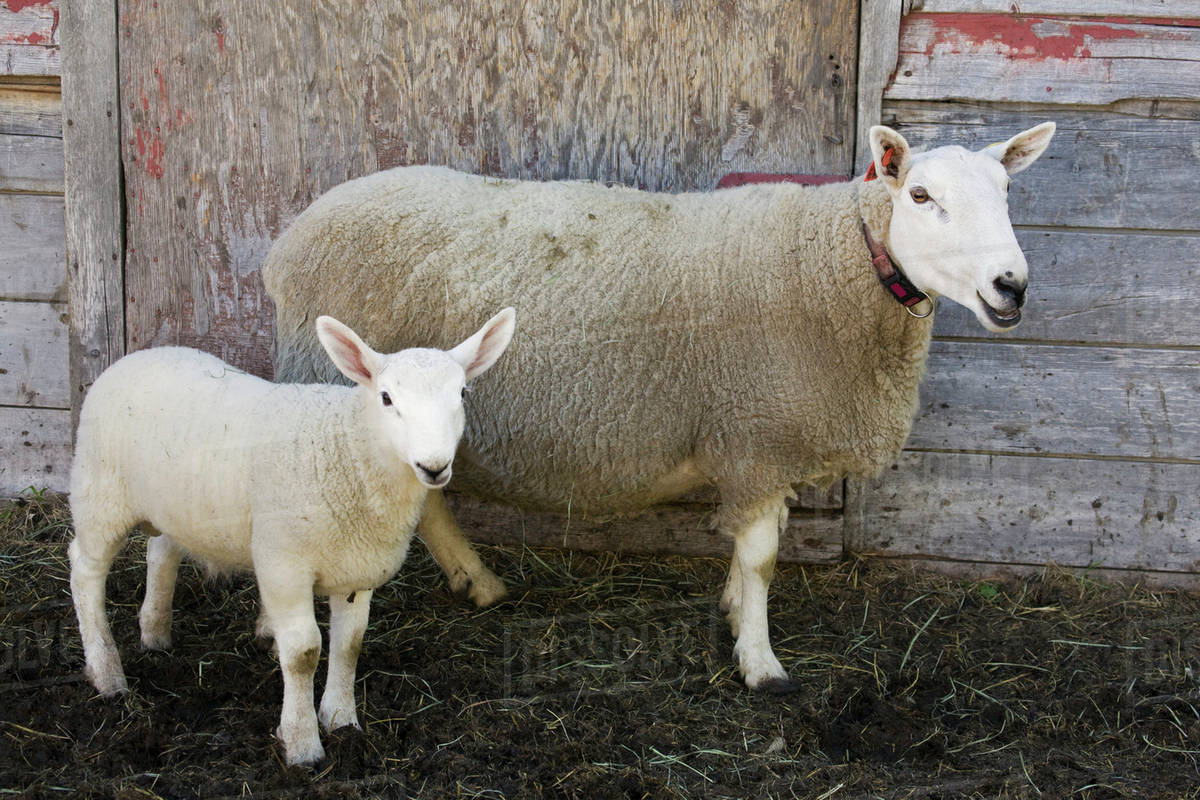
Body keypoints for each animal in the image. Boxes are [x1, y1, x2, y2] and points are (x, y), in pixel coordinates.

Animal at [67, 308, 516, 765]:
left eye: (462, 393)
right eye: (387, 398)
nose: (434, 466)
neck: (349, 449)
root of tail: (136, 357)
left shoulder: (356, 569)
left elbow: (349, 644)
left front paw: (341, 720)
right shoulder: (284, 567)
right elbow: (303, 653)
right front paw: (302, 744)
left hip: (172, 502)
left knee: (162, 550)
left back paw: (155, 632)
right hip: (99, 494)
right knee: (85, 572)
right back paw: (107, 673)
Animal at [262, 123, 1056, 691]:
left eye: (1006, 192)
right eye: (920, 196)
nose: (1011, 285)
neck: (843, 264)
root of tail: (286, 245)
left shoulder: (759, 444)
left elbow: (757, 544)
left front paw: (734, 613)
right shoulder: (756, 433)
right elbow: (764, 557)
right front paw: (761, 663)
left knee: (427, 501)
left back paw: (479, 582)